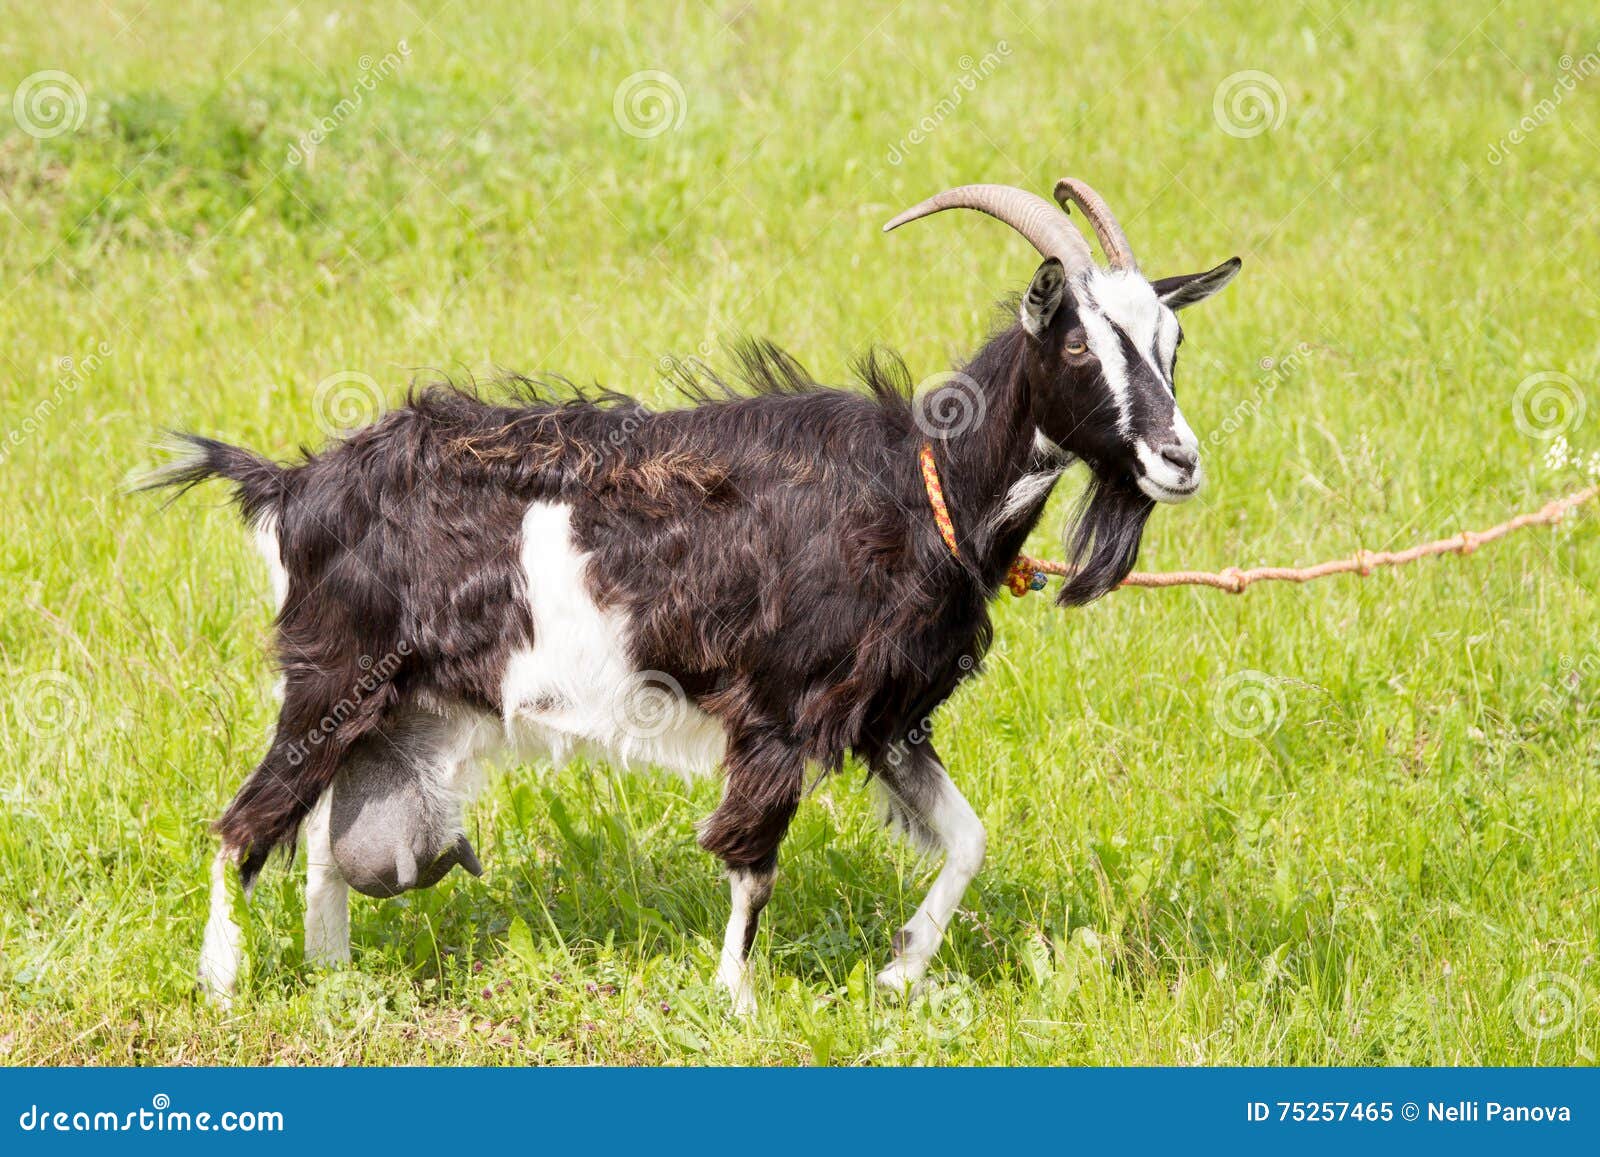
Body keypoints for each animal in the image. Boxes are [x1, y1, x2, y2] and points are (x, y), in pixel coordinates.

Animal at [149, 179, 1240, 1012]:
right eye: (1078, 346)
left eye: (1171, 343)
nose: (1178, 460)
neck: (926, 481)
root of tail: (292, 486)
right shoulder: (779, 709)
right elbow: (751, 856)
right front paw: (738, 1001)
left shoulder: (884, 712)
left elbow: (967, 836)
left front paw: (898, 970)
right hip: (330, 677)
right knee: (244, 826)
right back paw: (223, 986)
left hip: (390, 703)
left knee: (319, 842)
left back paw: (334, 979)